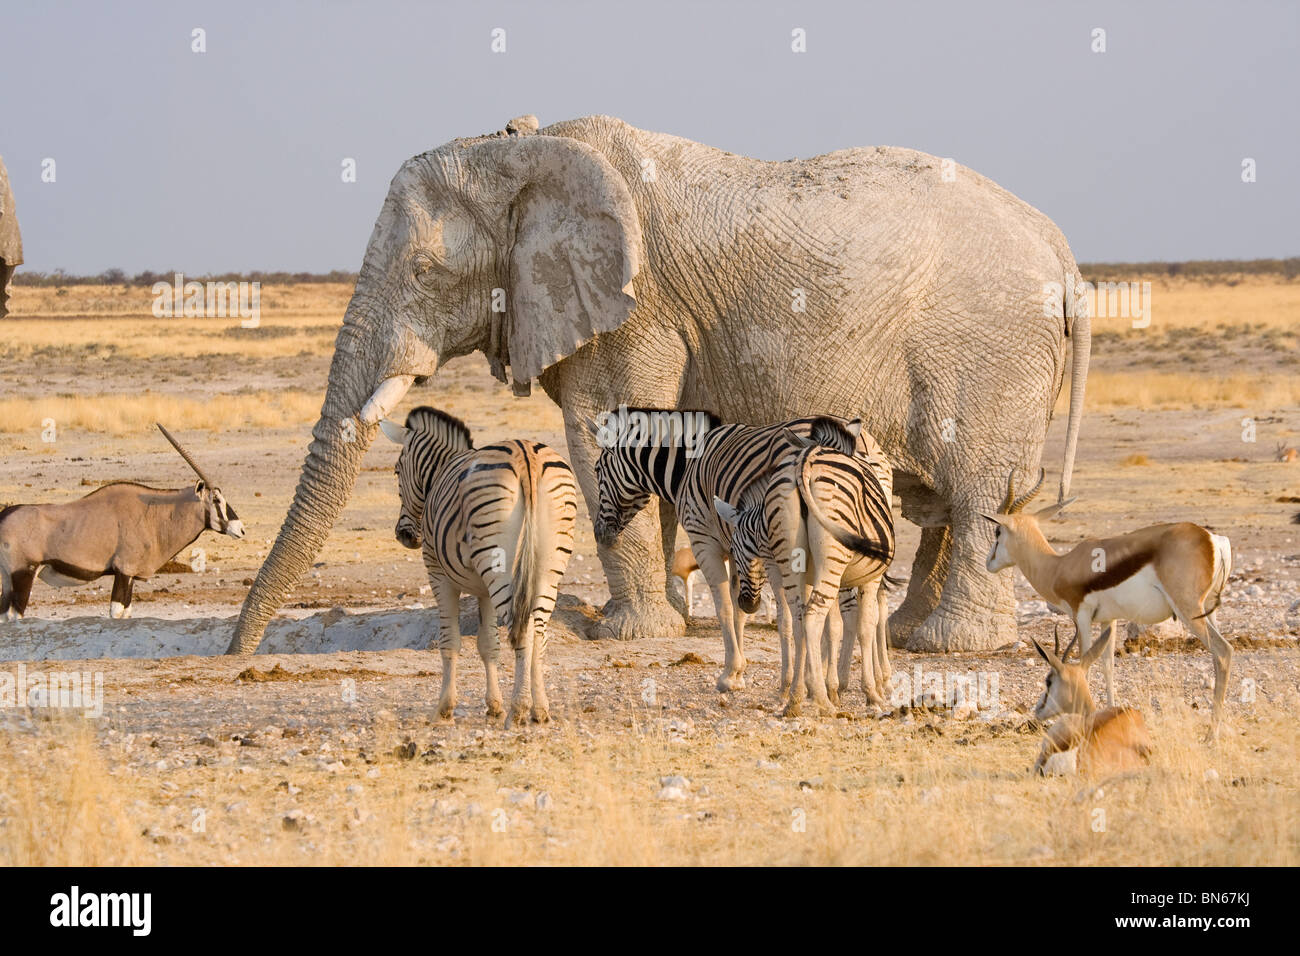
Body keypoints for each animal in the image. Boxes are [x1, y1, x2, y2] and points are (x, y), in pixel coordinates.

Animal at [228, 113, 1089, 656]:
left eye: (426, 272)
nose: (236, 651)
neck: (526, 151)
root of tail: (1066, 255)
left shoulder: (632, 308)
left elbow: (607, 432)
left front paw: (625, 634)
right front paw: (664, 621)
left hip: (991, 354)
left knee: (976, 492)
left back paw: (951, 645)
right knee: (939, 498)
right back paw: (908, 633)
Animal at [380, 407, 577, 727]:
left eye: (397, 471)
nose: (404, 536)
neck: (441, 470)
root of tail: (526, 456)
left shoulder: (438, 575)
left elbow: (450, 641)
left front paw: (444, 708)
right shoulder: (483, 589)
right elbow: (488, 645)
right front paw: (493, 706)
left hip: (501, 566)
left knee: (523, 631)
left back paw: (519, 709)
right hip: (548, 565)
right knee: (539, 631)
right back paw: (540, 709)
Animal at [590, 407, 863, 694]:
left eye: (597, 470)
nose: (599, 534)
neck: (686, 466)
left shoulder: (704, 542)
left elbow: (723, 607)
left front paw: (729, 673)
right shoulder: (736, 547)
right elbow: (738, 608)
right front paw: (738, 673)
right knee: (842, 613)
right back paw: (832, 680)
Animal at [715, 421, 897, 715]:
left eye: (736, 548)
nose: (747, 604)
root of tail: (806, 461)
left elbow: (832, 627)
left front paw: (819, 683)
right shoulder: (870, 577)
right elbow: (862, 624)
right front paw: (865, 692)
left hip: (793, 558)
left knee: (801, 619)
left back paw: (797, 697)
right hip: (834, 560)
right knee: (817, 616)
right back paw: (827, 698)